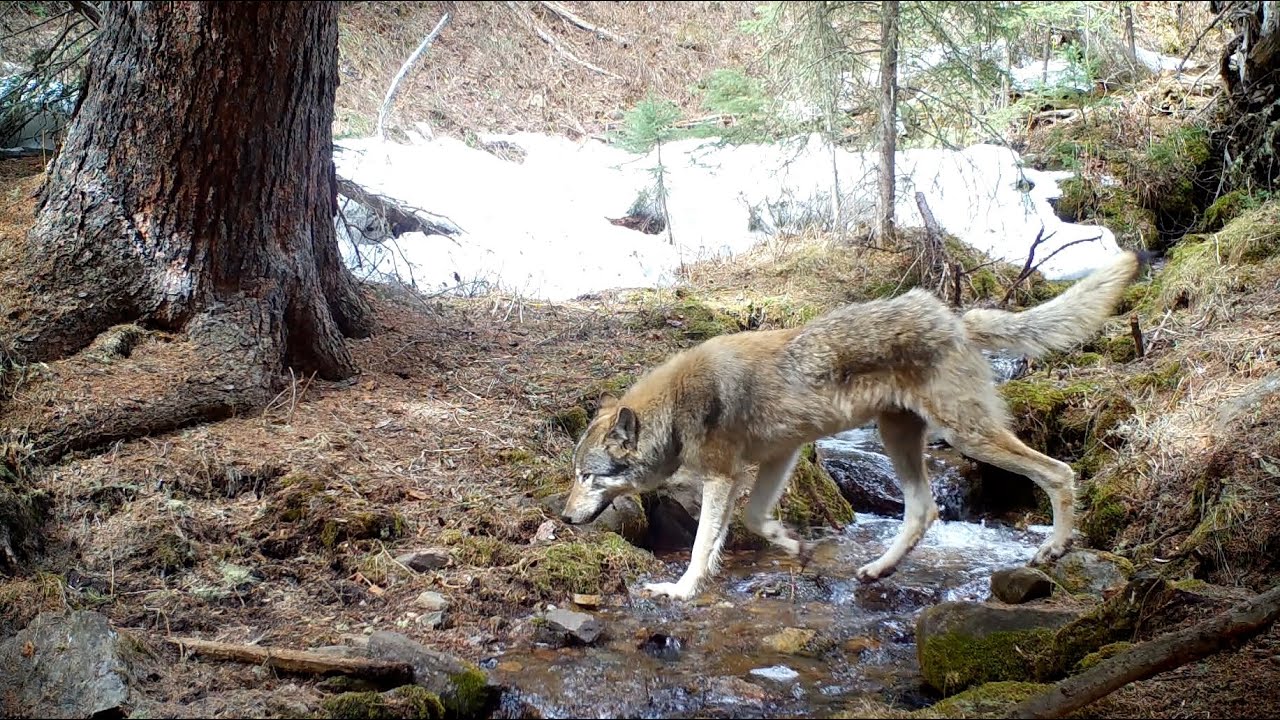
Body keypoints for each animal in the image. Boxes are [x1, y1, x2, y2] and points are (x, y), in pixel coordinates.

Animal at [560, 250, 1143, 601]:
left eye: (589, 477)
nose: (563, 518)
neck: (678, 408)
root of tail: (955, 317)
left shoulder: (723, 477)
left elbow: (704, 544)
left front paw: (680, 591)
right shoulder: (779, 457)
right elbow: (752, 520)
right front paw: (791, 545)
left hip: (965, 436)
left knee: (1060, 473)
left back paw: (1052, 550)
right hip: (898, 439)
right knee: (925, 510)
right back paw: (878, 570)